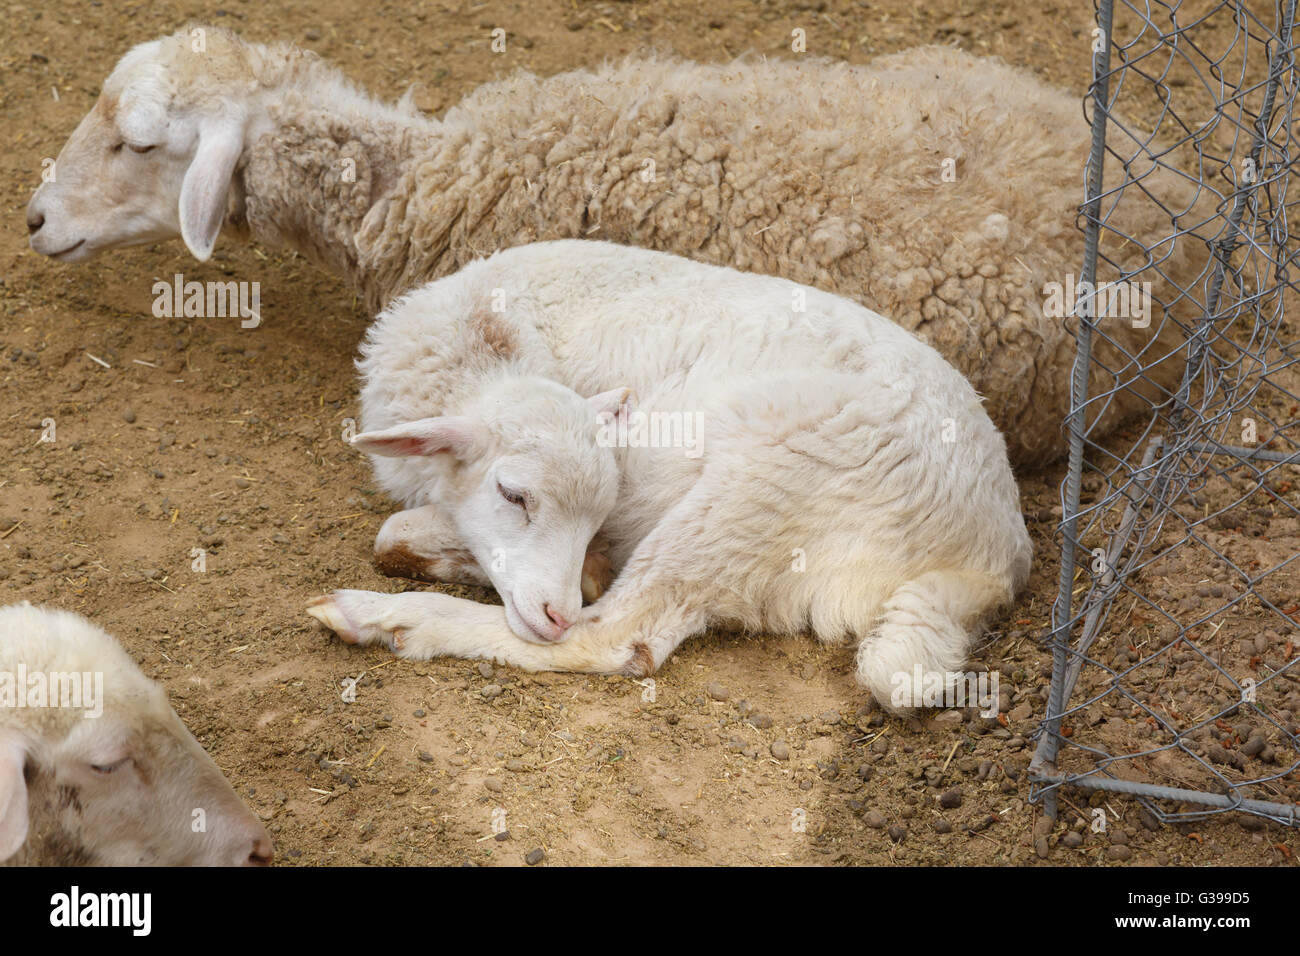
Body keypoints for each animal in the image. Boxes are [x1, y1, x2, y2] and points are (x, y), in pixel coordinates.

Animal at [304, 239, 1033, 710]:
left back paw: (386, 616)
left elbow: (394, 533)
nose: (554, 609)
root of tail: (989, 558)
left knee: (617, 637)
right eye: (513, 494)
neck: (488, 335)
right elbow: (393, 536)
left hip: (765, 479)